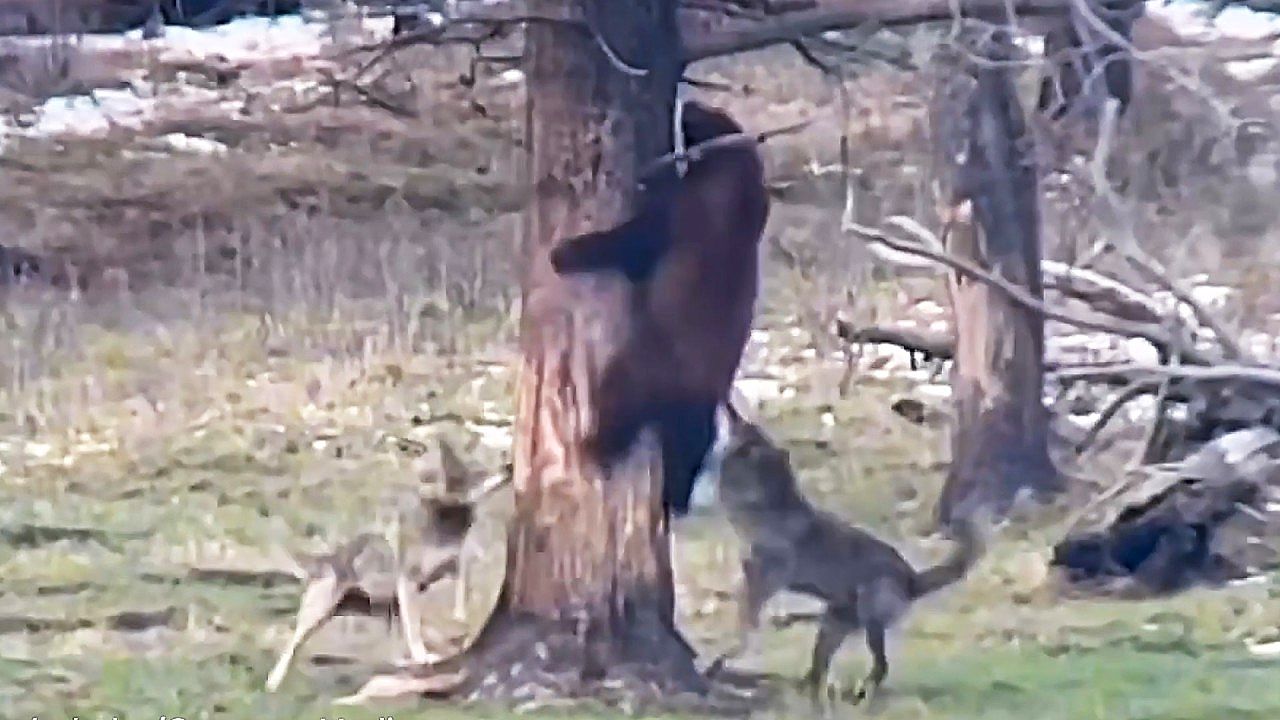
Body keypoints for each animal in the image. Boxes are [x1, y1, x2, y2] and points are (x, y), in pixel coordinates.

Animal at [548, 100, 769, 516]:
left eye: (706, 113)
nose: (688, 104)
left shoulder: (684, 217)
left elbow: (635, 241)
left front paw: (567, 252)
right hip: (693, 413)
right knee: (690, 446)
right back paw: (676, 496)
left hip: (640, 367)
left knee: (620, 404)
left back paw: (594, 445)